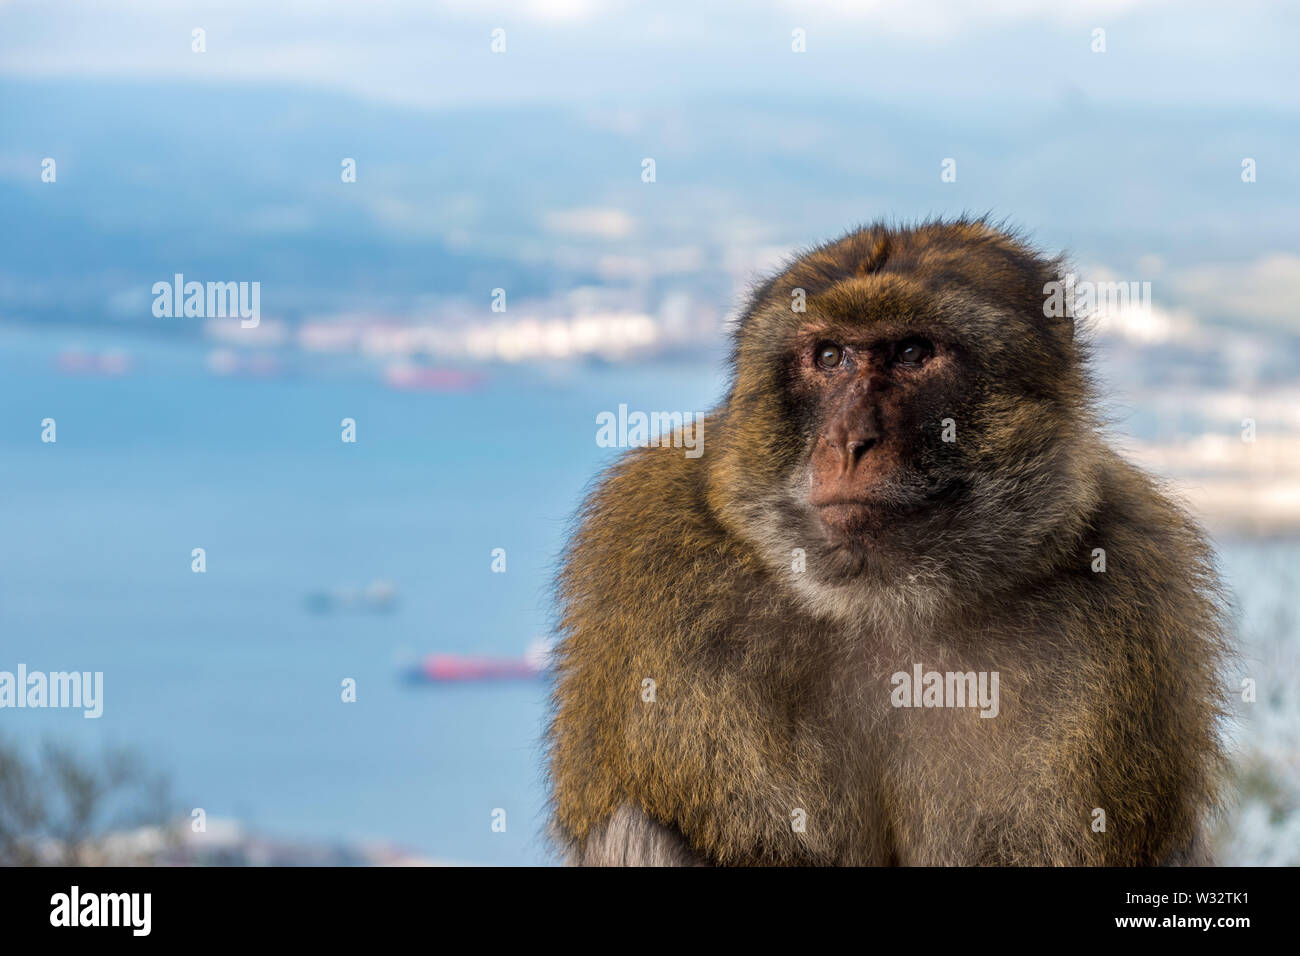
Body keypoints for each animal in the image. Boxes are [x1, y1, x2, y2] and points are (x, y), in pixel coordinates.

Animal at [547, 218, 1231, 866]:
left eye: (910, 351)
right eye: (829, 357)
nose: (849, 440)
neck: (884, 596)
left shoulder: (1133, 601)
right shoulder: (653, 565)